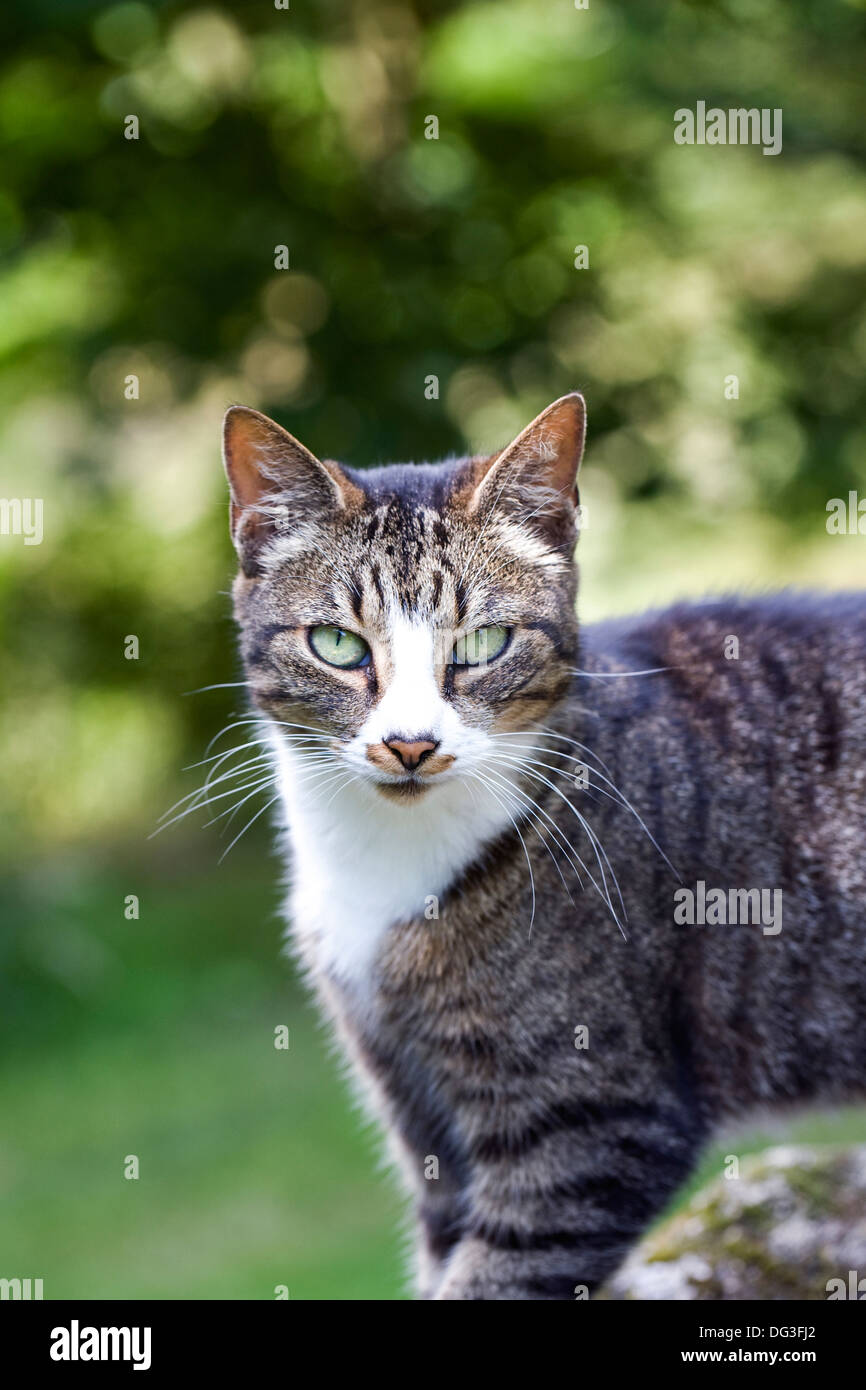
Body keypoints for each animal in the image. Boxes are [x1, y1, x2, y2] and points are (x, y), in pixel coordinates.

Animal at [218, 394, 866, 1301]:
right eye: (338, 645)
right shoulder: (418, 1113)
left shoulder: (592, 1125)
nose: (410, 744)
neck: (384, 862)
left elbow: (494, 1276)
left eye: (482, 643)